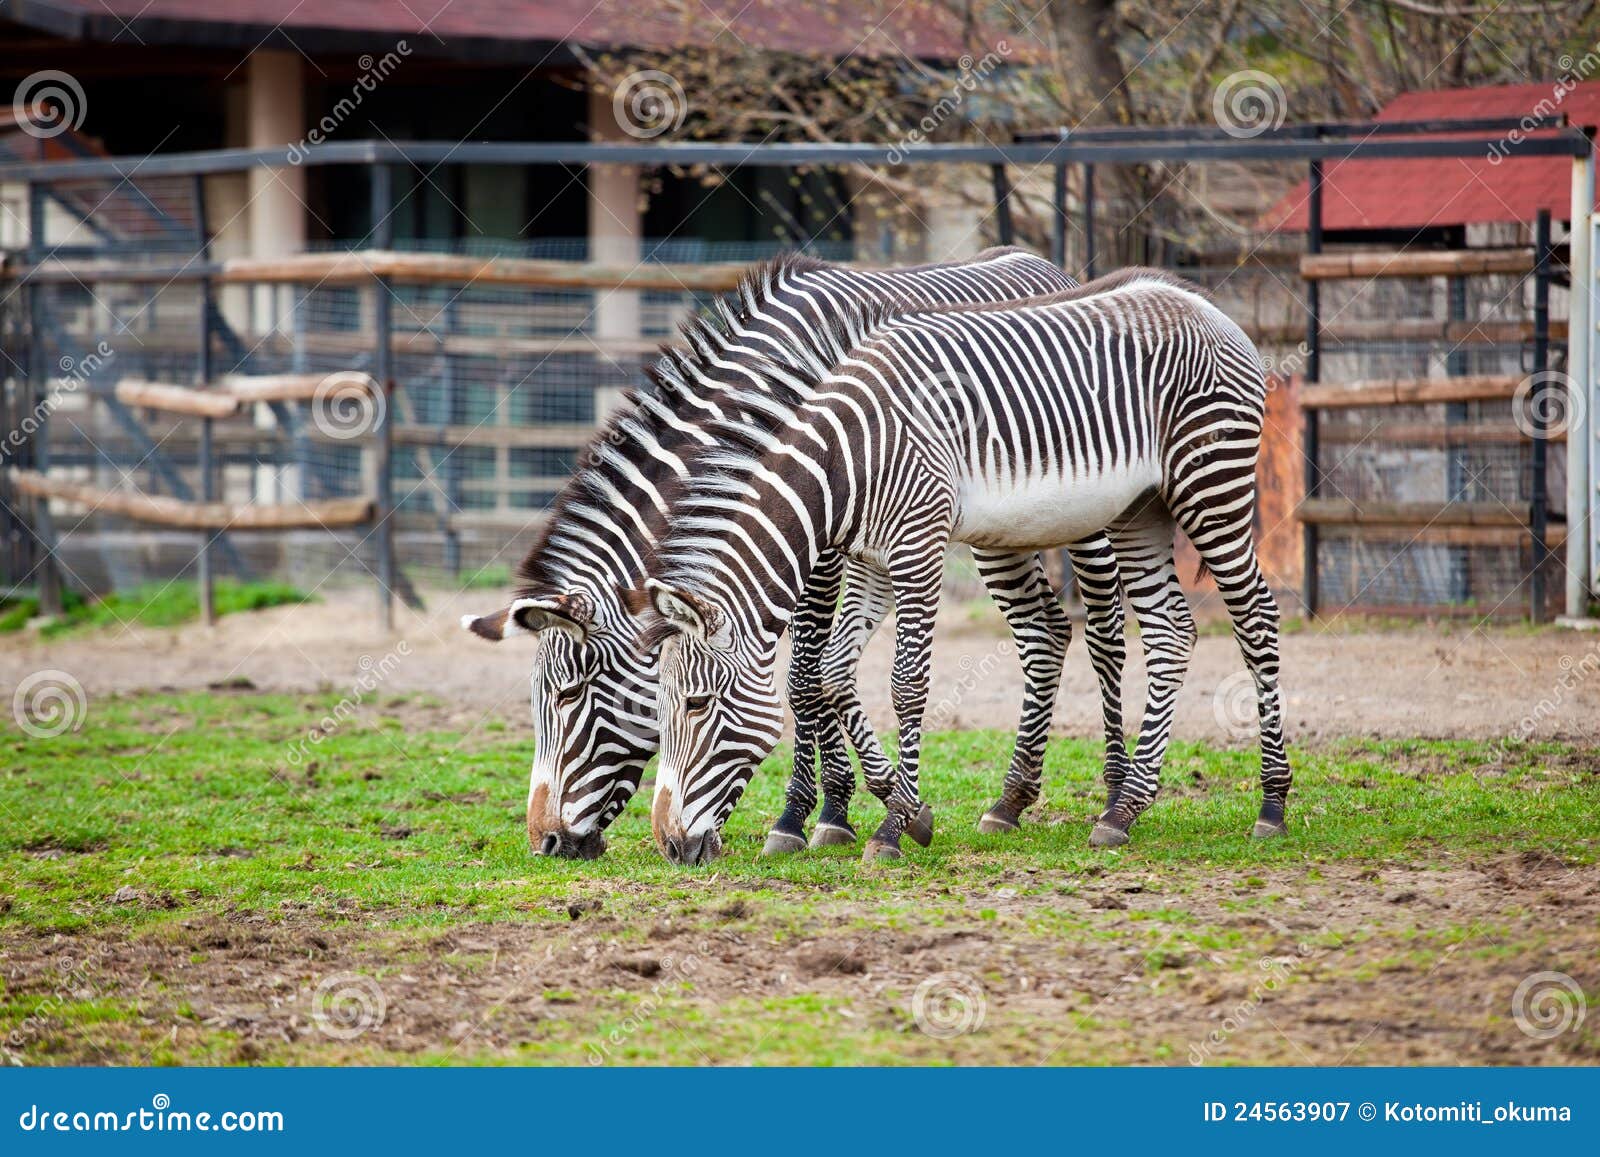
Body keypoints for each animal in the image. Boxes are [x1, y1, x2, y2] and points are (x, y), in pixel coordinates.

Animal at [462, 249, 1134, 860]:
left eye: (570, 695)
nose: (546, 844)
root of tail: (1043, 263)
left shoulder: (822, 536)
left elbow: (806, 675)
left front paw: (811, 815)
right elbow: (822, 671)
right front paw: (849, 809)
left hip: (1087, 506)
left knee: (1104, 632)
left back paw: (1115, 797)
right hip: (999, 525)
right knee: (1043, 629)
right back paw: (1010, 802)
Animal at [639, 268, 1289, 864]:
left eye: (697, 705)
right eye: (658, 708)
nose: (668, 844)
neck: (847, 463)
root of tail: (1202, 305)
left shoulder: (918, 546)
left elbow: (906, 685)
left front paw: (891, 828)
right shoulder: (871, 561)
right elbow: (831, 673)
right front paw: (905, 808)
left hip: (1211, 484)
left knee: (1255, 620)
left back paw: (1272, 806)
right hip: (1140, 508)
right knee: (1170, 633)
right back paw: (1123, 810)